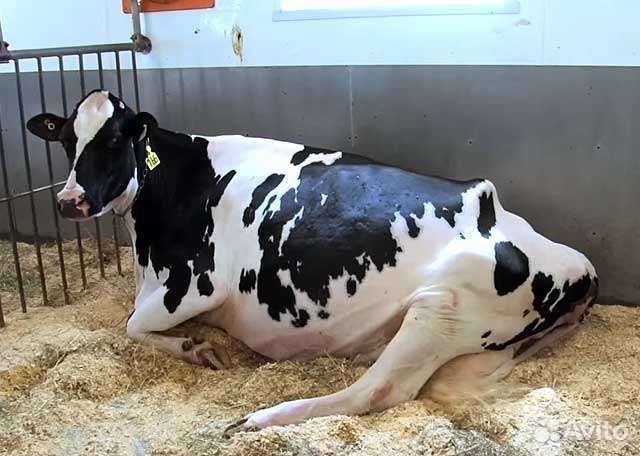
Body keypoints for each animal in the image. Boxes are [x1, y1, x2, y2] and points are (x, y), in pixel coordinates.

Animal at [27, 90, 598, 435]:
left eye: (115, 138)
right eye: (66, 139)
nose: (70, 202)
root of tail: (583, 272)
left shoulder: (194, 284)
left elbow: (130, 326)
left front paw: (196, 349)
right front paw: (197, 345)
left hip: (443, 305)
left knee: (378, 389)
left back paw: (260, 419)